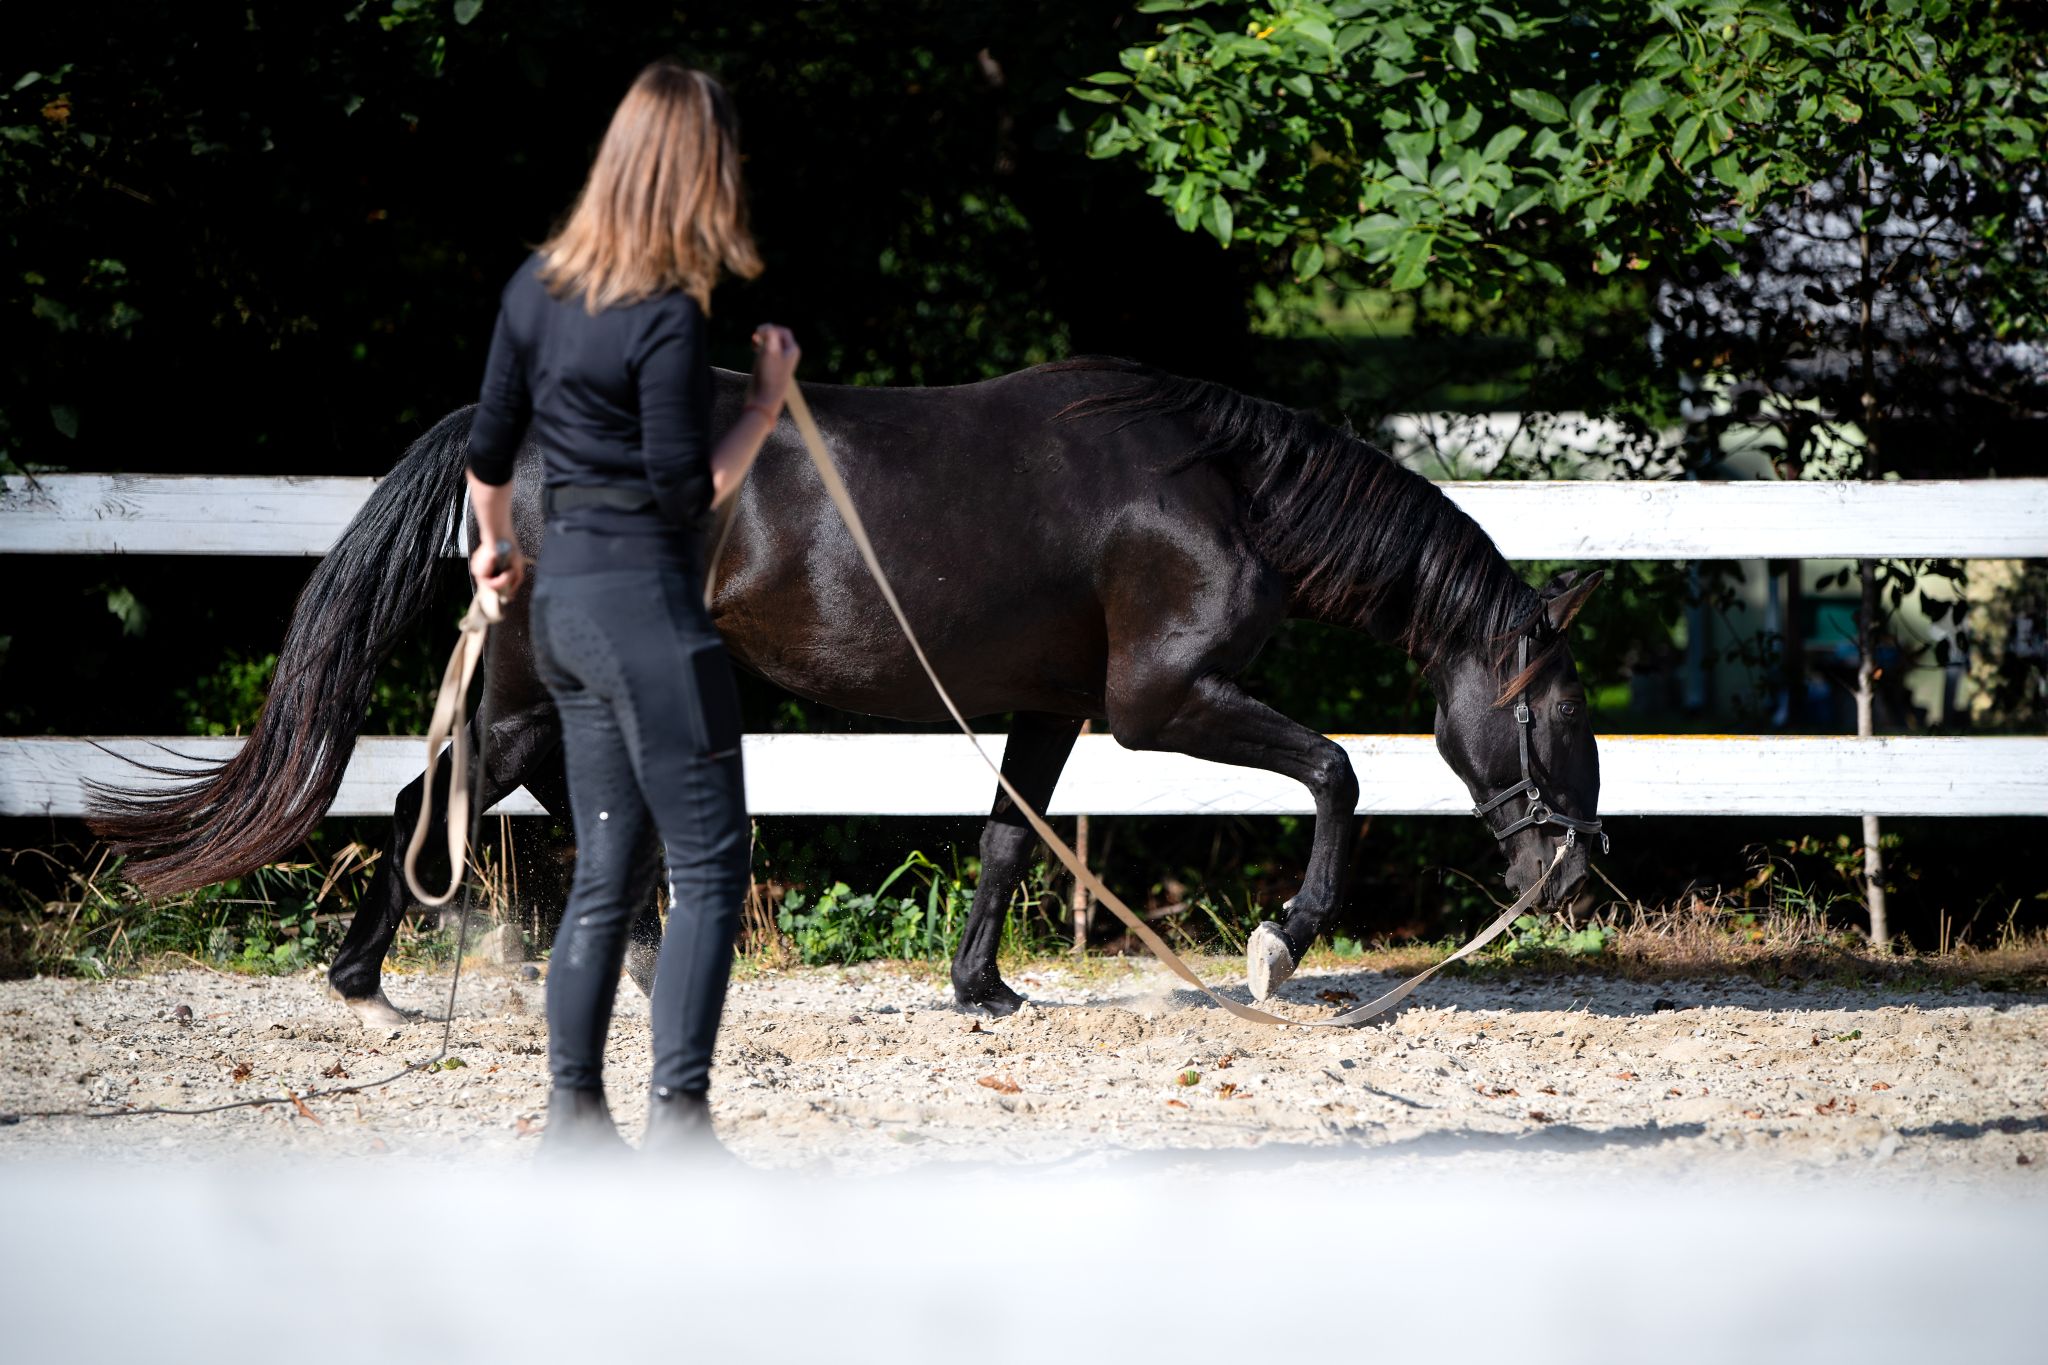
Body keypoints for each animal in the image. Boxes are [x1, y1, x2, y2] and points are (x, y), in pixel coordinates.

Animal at [92, 358, 1604, 1026]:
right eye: (1558, 717)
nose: (1573, 878)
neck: (1206, 483)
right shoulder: (1162, 702)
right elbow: (1338, 769)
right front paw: (1281, 944)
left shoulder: (1050, 709)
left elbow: (1005, 841)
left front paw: (981, 989)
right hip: (524, 695)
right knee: (435, 799)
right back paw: (363, 983)